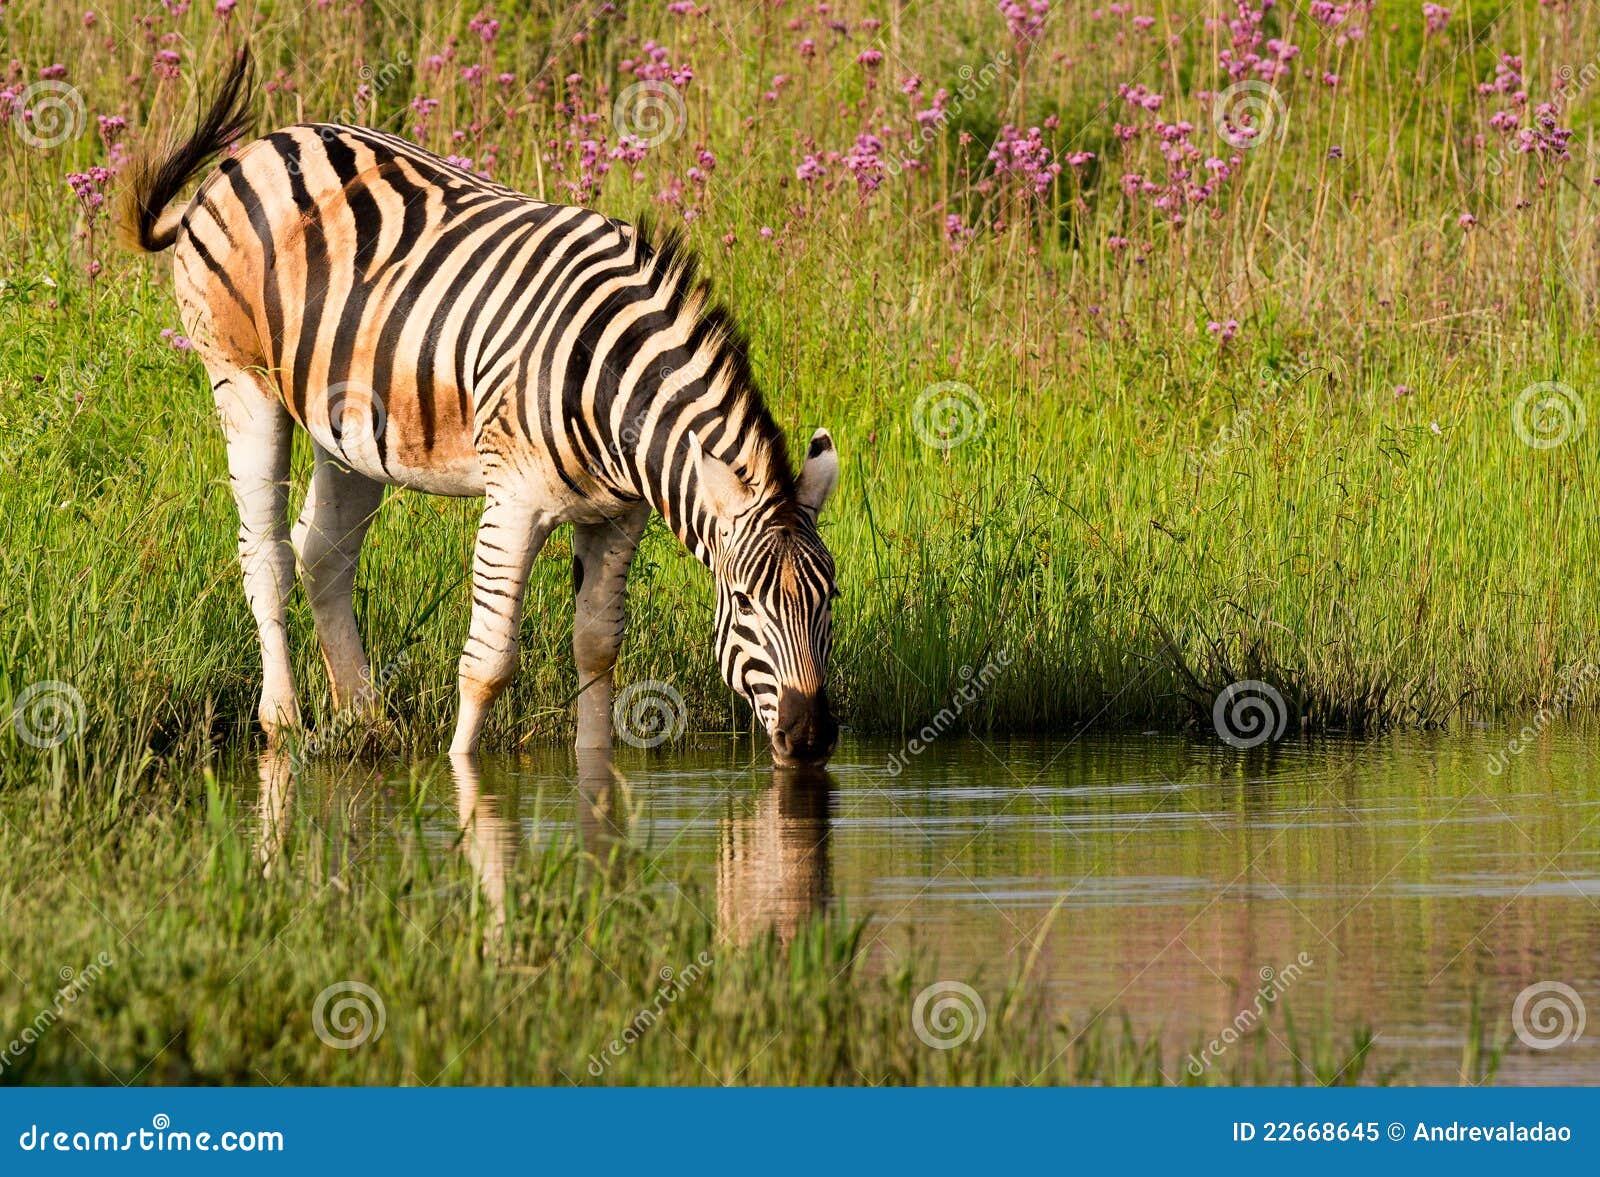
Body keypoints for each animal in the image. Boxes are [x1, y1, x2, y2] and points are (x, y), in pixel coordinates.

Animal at [116, 52, 840, 765]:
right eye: (744, 603)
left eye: (830, 597)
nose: (808, 739)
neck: (614, 387)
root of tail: (264, 145)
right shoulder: (513, 501)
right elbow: (487, 664)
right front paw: (462, 773)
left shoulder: (618, 516)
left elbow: (597, 647)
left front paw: (596, 770)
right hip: (242, 380)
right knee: (266, 553)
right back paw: (284, 723)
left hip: (344, 421)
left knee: (324, 553)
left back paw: (364, 722)